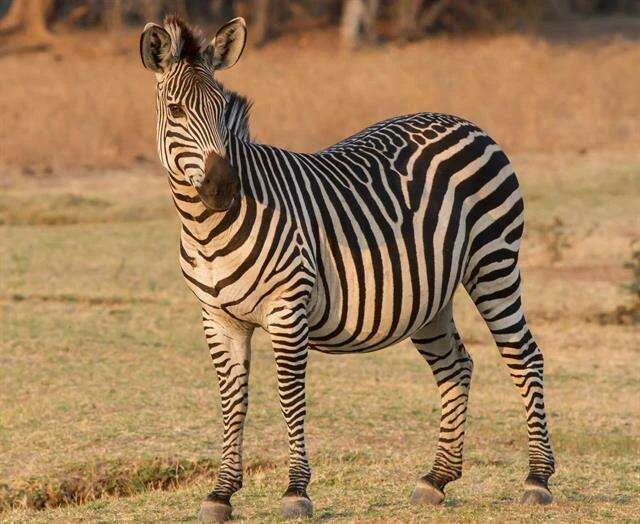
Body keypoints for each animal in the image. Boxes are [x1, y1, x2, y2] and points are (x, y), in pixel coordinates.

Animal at [139, 15, 556, 522]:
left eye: (224, 110)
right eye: (176, 110)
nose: (222, 189)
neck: (207, 229)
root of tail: (464, 122)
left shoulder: (287, 310)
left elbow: (290, 395)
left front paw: (296, 490)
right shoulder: (218, 318)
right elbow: (232, 401)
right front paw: (221, 493)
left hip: (494, 262)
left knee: (524, 356)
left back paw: (537, 479)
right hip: (429, 294)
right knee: (455, 365)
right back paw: (437, 478)